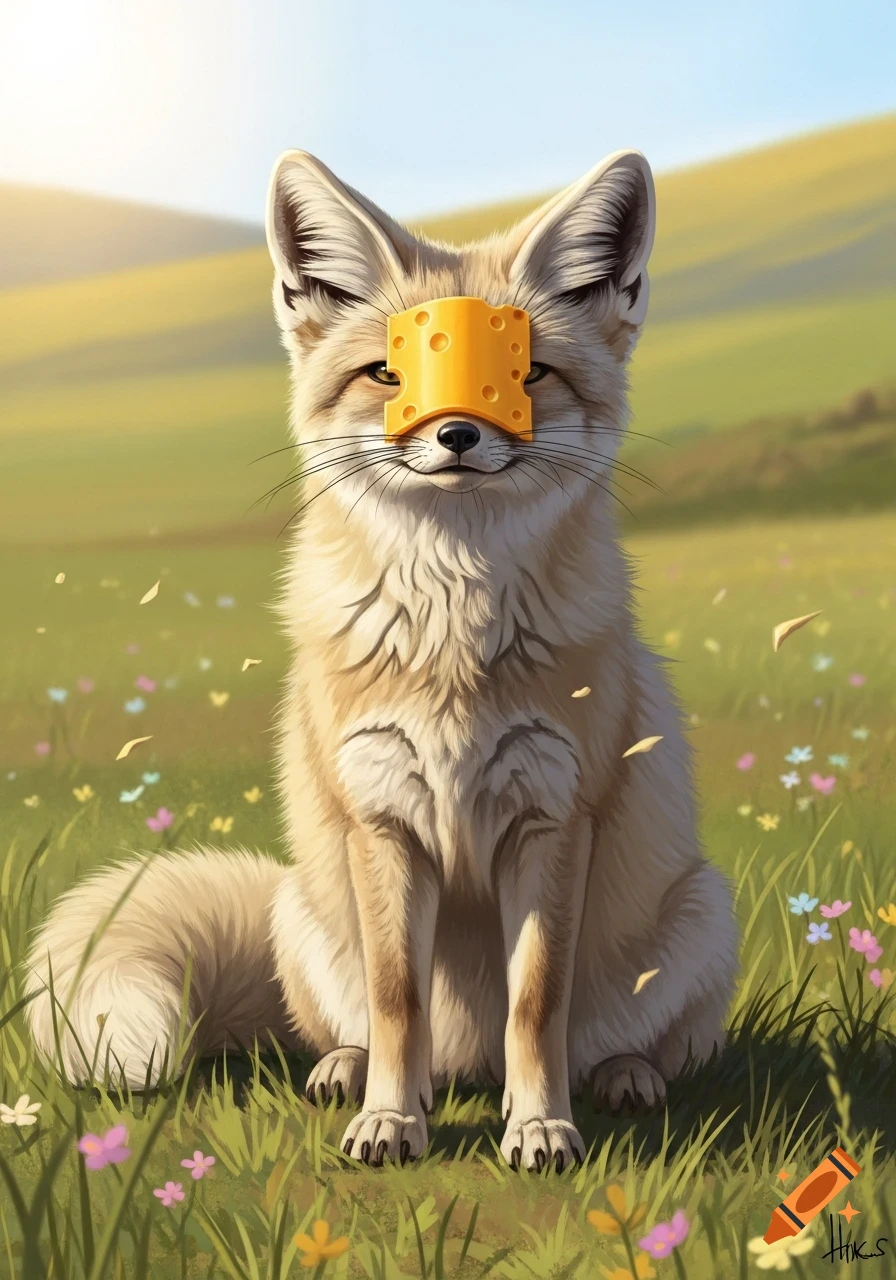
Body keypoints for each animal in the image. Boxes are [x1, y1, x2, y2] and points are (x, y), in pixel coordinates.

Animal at [23, 146, 739, 1172]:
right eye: (387, 374)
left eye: (525, 373)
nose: (456, 435)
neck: (453, 643)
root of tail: (470, 1066)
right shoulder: (383, 815)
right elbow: (398, 997)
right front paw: (393, 1122)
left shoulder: (554, 816)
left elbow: (537, 1003)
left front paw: (541, 1128)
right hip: (305, 910)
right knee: (368, 1026)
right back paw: (353, 1075)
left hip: (703, 911)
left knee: (632, 1040)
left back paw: (620, 1079)